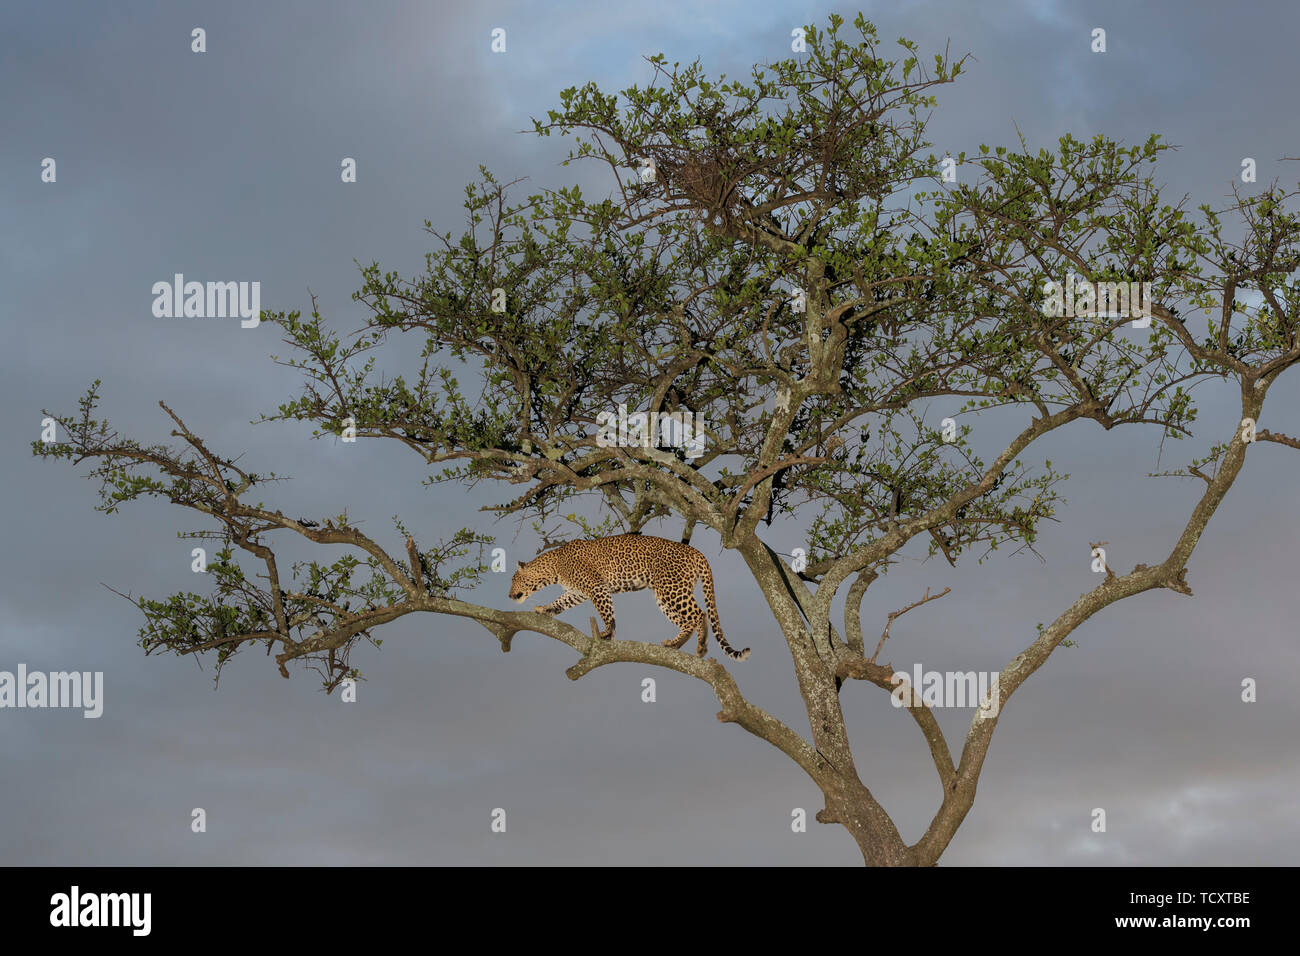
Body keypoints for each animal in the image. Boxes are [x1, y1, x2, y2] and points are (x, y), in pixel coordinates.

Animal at [507, 533, 750, 661]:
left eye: (513, 579)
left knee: (699, 614)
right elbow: (561, 602)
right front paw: (545, 609)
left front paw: (607, 633)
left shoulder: (596, 587)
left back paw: (701, 646)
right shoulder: (577, 593)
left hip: (672, 589)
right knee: (687, 621)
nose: (509, 595)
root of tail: (696, 552)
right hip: (665, 595)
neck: (553, 568)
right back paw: (674, 644)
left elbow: (606, 611)